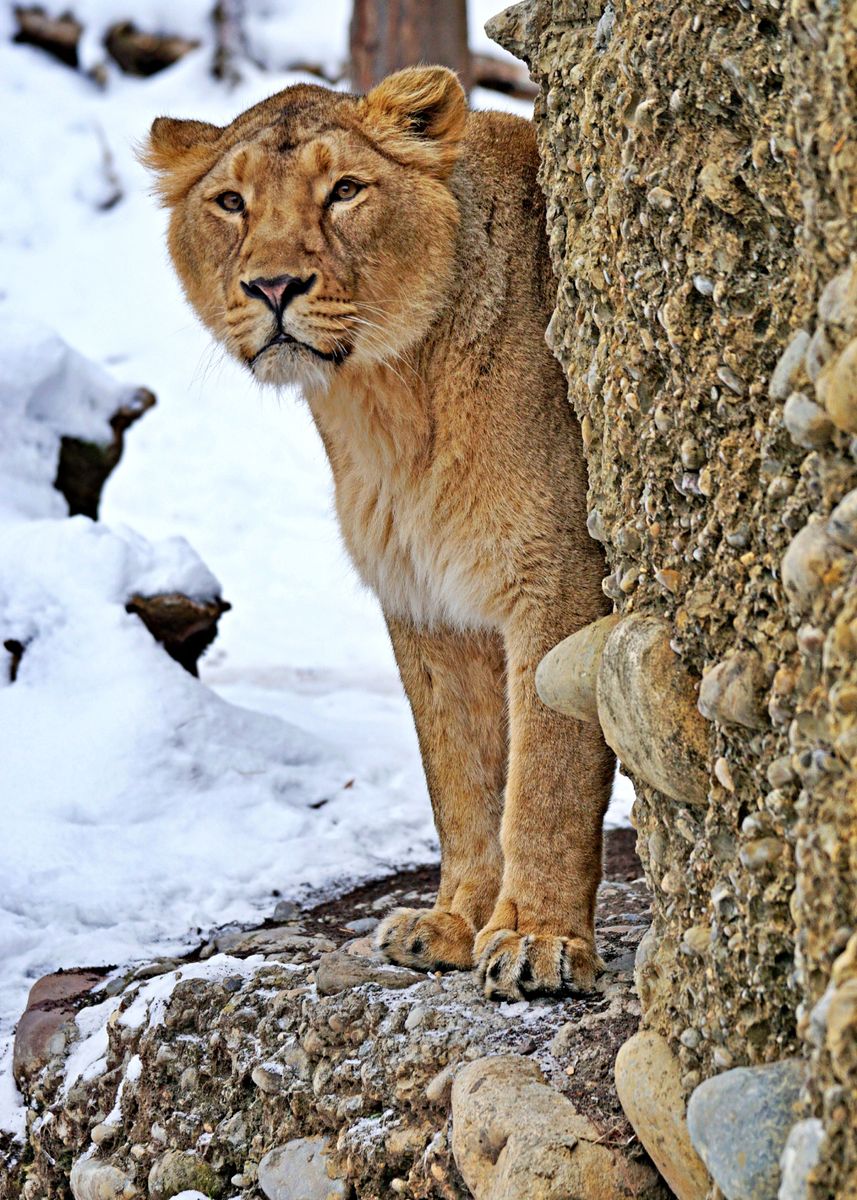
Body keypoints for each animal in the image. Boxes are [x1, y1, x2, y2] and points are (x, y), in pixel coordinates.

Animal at [143, 66, 614, 1000]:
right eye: (230, 202)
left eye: (345, 191)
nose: (273, 288)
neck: (390, 400)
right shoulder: (425, 601)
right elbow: (463, 780)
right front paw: (455, 924)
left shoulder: (561, 582)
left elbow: (546, 778)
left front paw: (536, 939)